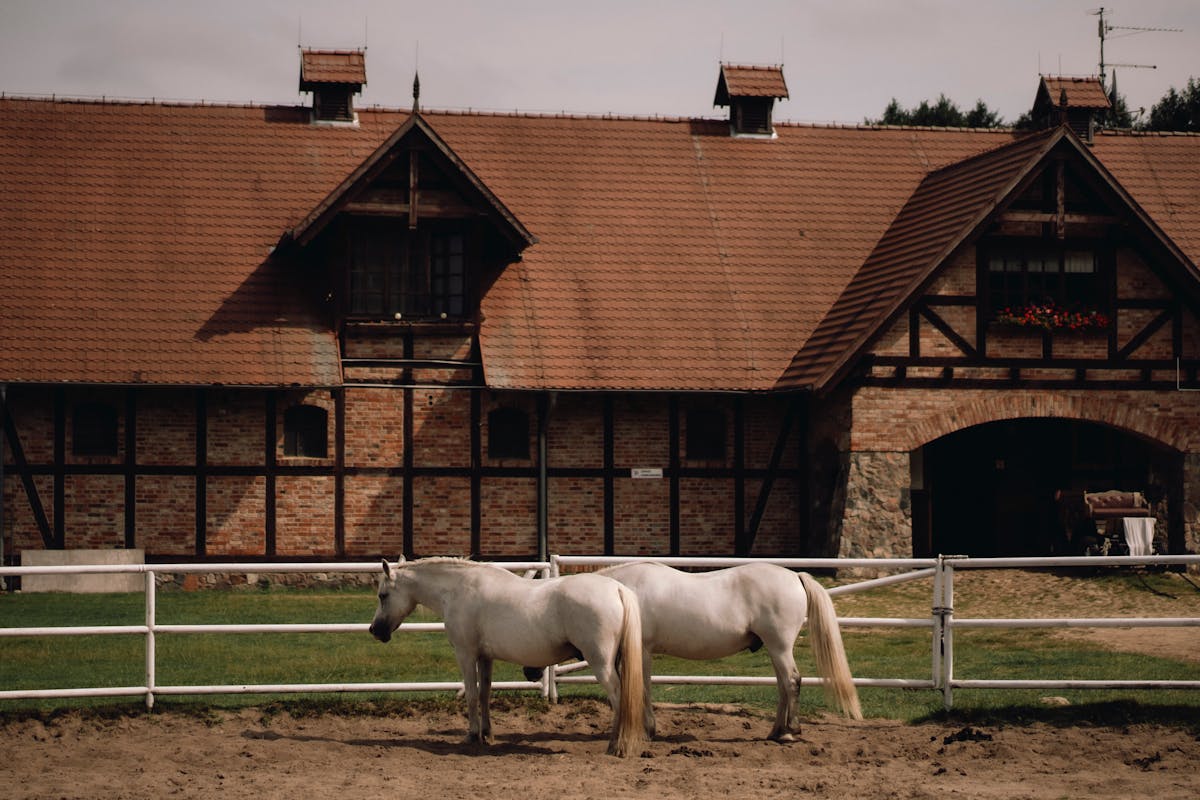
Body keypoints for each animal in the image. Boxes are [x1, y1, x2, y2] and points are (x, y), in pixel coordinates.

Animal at [369, 557, 647, 757]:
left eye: (383, 595)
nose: (374, 630)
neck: (459, 590)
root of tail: (617, 589)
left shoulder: (466, 654)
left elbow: (471, 695)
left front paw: (472, 736)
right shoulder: (485, 657)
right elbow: (485, 694)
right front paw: (487, 734)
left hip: (601, 664)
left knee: (618, 697)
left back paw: (617, 746)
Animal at [597, 561, 862, 742]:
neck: (626, 591)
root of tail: (795, 576)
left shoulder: (643, 649)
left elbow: (642, 687)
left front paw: (647, 729)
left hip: (780, 646)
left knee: (792, 681)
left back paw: (790, 731)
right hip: (776, 649)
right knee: (783, 686)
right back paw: (777, 731)